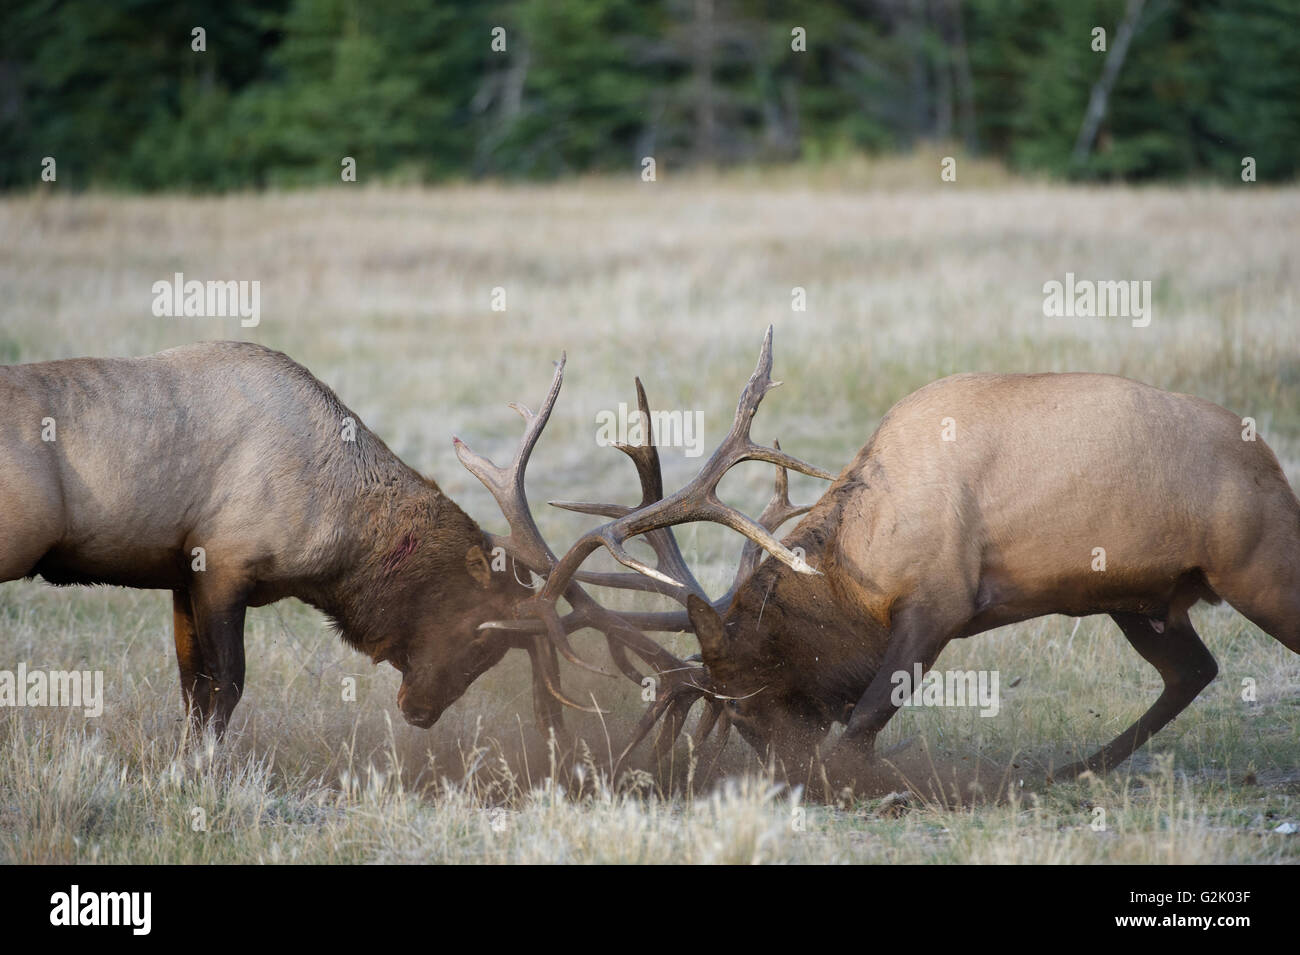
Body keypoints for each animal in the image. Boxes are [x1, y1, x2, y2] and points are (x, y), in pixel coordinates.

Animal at [479, 328, 1300, 788]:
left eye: (746, 703)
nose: (779, 772)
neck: (859, 568)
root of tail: (1272, 461)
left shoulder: (941, 603)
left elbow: (865, 719)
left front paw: (859, 777)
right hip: (1142, 599)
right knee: (1194, 670)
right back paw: (1066, 772)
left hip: (1257, 564)